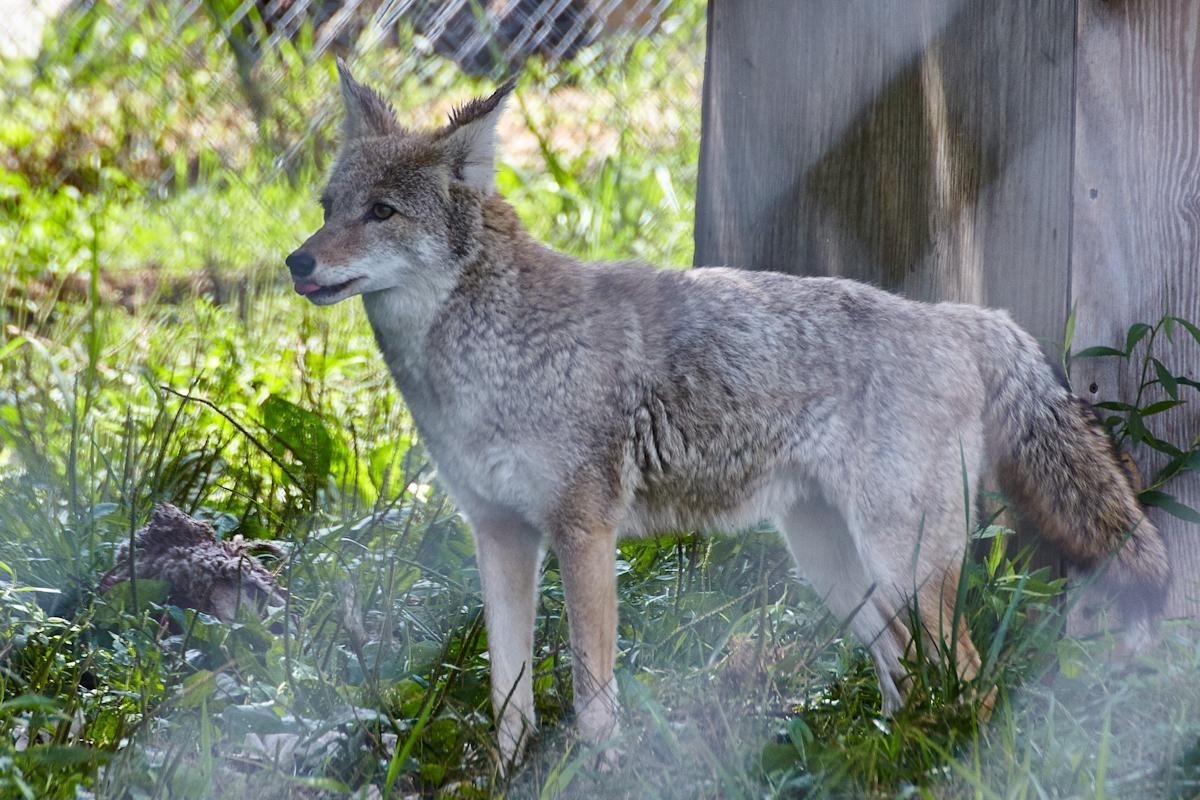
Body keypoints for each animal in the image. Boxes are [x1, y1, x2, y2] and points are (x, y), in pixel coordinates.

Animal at [287, 63, 1170, 770]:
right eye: (328, 206)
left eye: (382, 212)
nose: (296, 260)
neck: (482, 358)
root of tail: (965, 316)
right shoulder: (500, 536)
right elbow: (510, 703)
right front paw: (503, 779)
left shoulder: (583, 535)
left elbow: (591, 698)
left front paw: (598, 774)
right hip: (839, 570)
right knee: (904, 679)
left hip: (900, 569)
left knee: (974, 686)